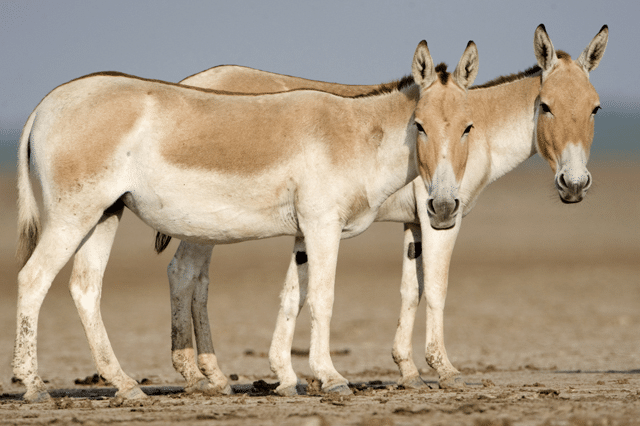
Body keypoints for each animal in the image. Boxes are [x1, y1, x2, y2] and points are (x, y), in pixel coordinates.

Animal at [14, 41, 479, 402]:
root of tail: (44, 105)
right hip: (73, 215)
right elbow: (323, 298)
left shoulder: (304, 231)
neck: (354, 136)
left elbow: (294, 296)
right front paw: (330, 378)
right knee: (33, 279)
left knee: (85, 288)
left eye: (468, 128)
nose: (442, 208)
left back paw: (126, 385)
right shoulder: (323, 225)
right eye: (419, 126)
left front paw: (293, 380)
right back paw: (33, 385)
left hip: (105, 213)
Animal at [159, 24, 608, 396]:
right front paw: (445, 371)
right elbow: (437, 288)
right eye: (546, 106)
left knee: (194, 279)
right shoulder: (442, 217)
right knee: (185, 274)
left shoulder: (414, 222)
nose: (574, 185)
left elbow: (410, 290)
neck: (474, 134)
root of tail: (190, 81)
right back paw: (201, 376)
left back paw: (209, 376)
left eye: (595, 108)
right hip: (205, 217)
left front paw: (407, 372)